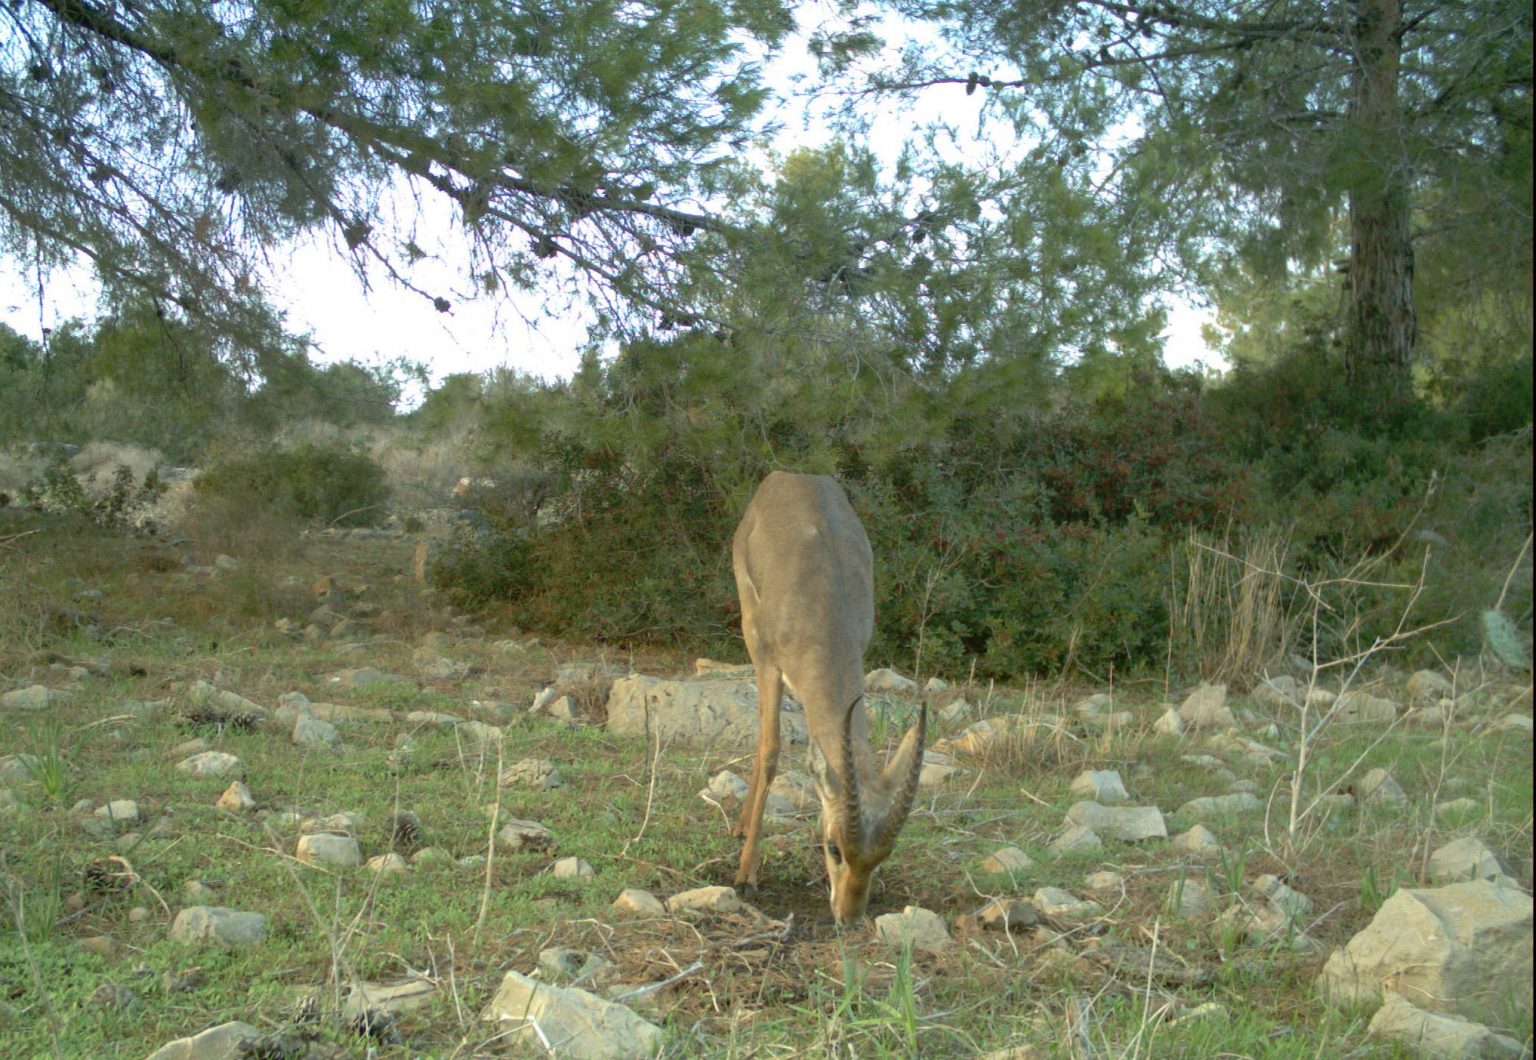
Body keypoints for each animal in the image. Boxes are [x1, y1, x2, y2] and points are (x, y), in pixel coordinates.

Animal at [731, 471, 927, 924]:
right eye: (833, 846)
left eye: (882, 856)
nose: (849, 916)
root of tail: (787, 475)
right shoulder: (769, 661)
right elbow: (771, 749)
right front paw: (746, 875)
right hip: (749, 629)